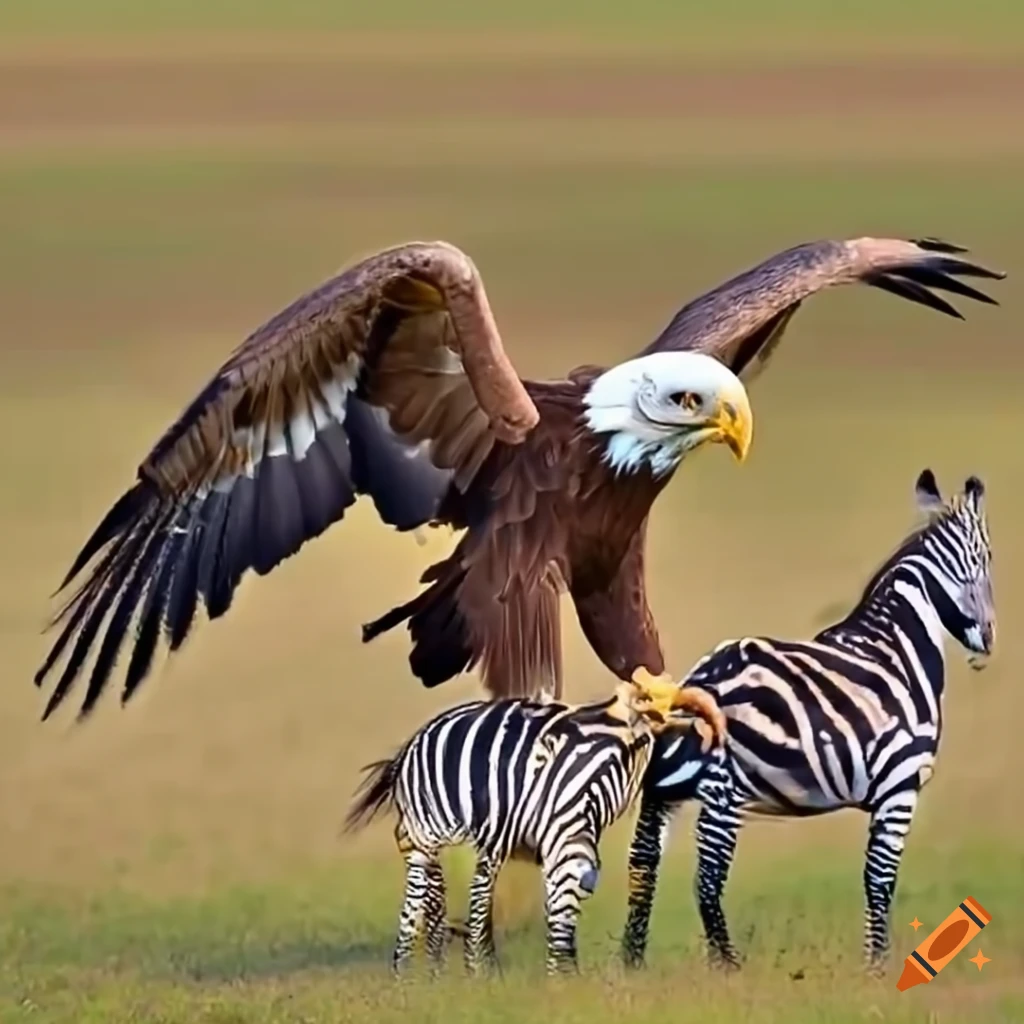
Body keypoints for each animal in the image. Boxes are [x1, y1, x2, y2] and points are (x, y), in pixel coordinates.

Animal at [344, 669, 726, 976]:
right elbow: (484, 907)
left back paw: (426, 972)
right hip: (446, 837)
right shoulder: (506, 838)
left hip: (438, 841)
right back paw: (431, 972)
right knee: (436, 902)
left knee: (430, 899)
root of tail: (418, 740)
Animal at [619, 469, 995, 975]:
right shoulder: (900, 787)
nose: (989, 640)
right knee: (708, 878)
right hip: (724, 791)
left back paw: (631, 965)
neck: (901, 646)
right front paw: (877, 968)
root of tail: (700, 678)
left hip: (666, 786)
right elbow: (880, 879)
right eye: (987, 559)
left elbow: (876, 878)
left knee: (644, 864)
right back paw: (730, 968)